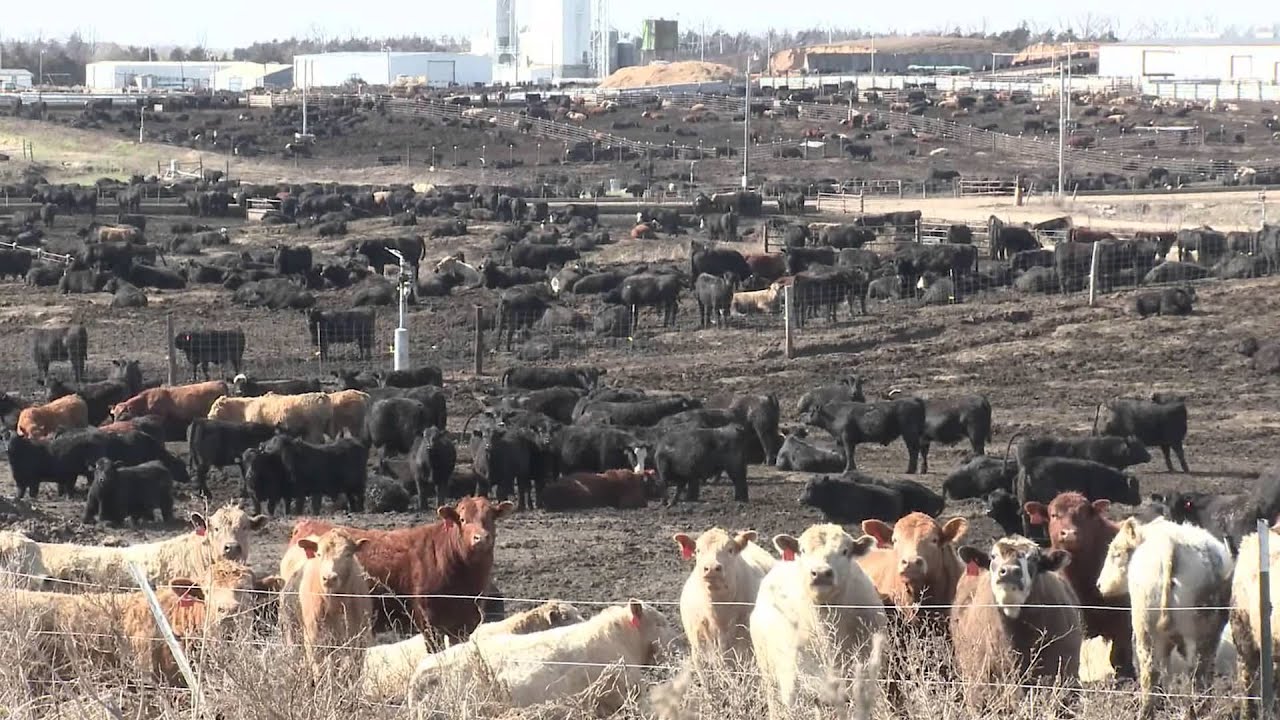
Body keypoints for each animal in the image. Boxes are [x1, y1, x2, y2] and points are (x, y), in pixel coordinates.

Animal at [1096, 518, 1233, 719]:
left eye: (1117, 553)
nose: (1099, 584)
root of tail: (1171, 543)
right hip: (1200, 634)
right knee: (1197, 672)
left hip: (1147, 631)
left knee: (1151, 671)